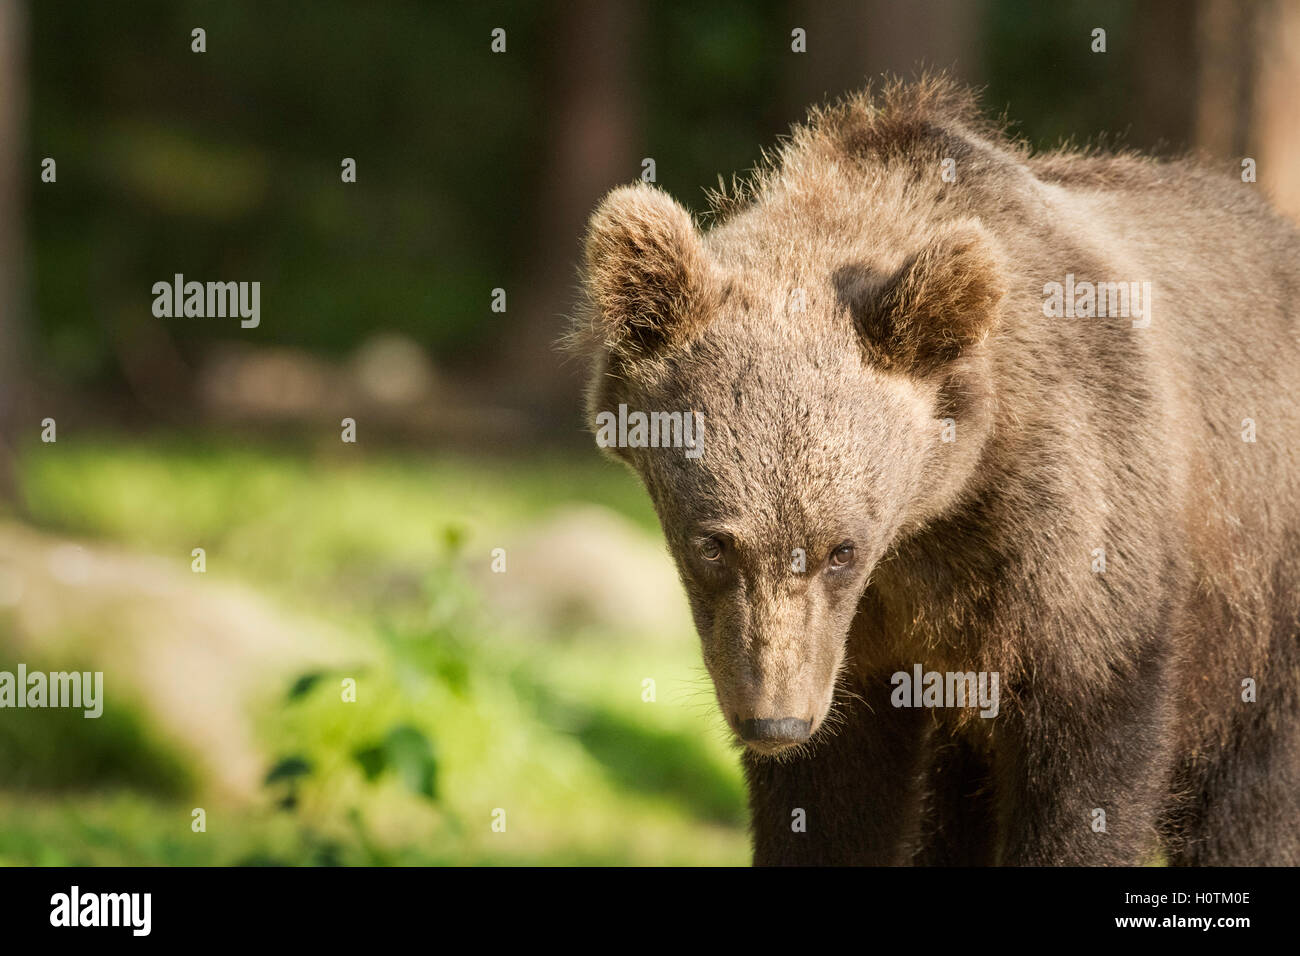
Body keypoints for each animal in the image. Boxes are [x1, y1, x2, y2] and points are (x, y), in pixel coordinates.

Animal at [570, 77, 1300, 866]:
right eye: (712, 542)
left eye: (841, 549)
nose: (775, 721)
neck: (936, 516)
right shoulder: (862, 651)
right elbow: (832, 803)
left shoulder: (1080, 546)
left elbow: (1087, 771)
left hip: (1260, 598)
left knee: (1253, 799)